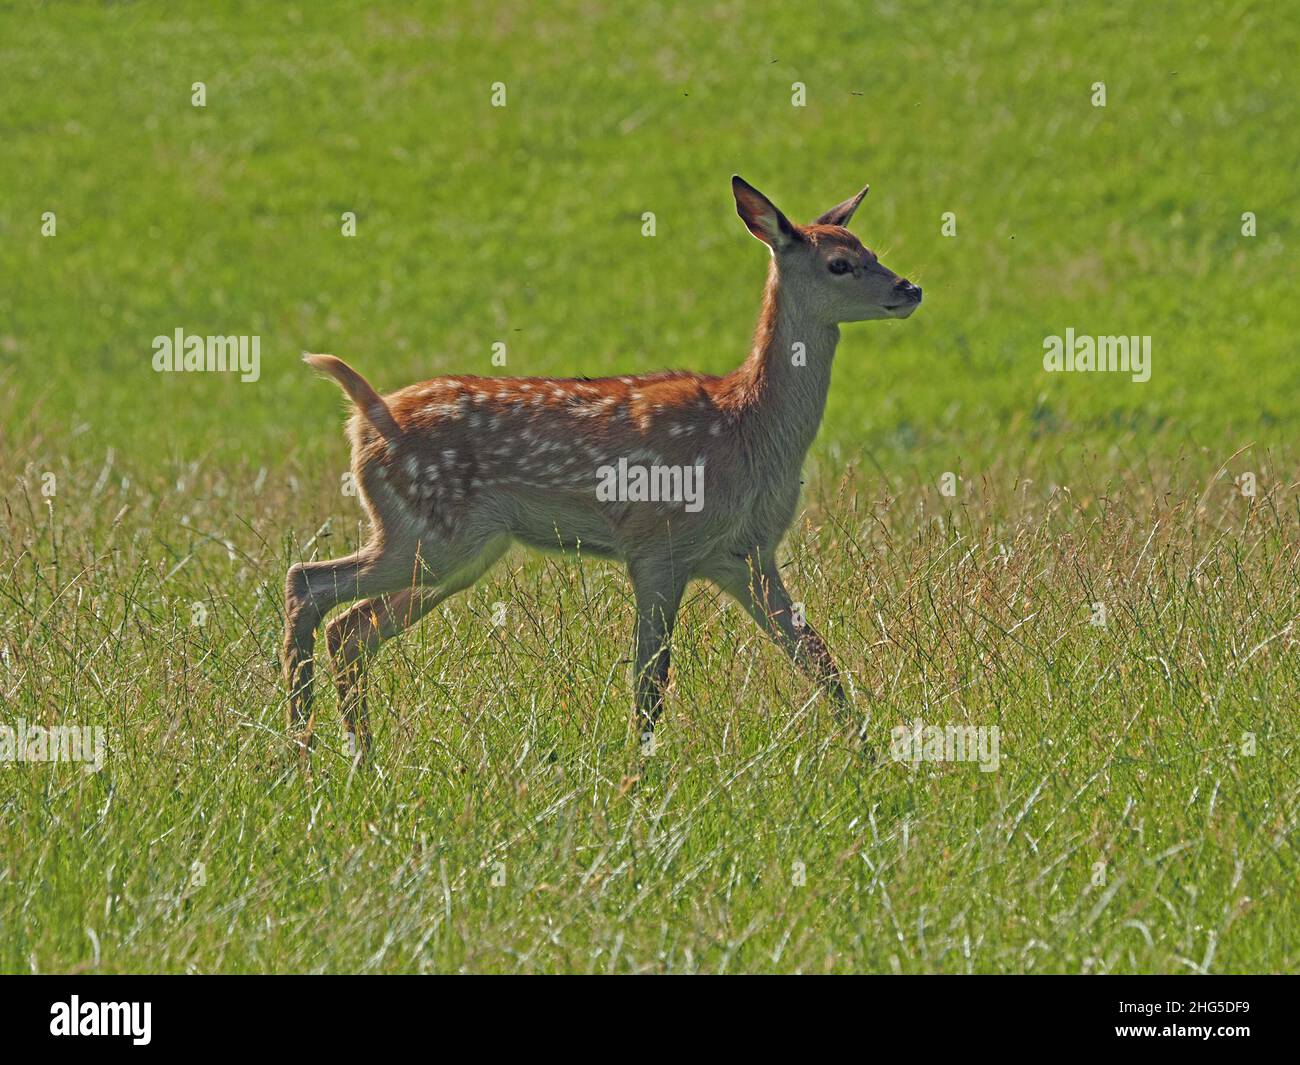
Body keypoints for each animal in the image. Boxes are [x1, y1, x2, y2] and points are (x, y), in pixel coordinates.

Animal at [282, 175, 921, 760]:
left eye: (870, 249)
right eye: (840, 263)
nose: (911, 287)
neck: (749, 430)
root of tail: (370, 416)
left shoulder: (747, 554)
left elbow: (818, 659)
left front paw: (869, 758)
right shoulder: (658, 546)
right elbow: (651, 683)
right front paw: (637, 777)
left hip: (456, 550)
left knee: (351, 628)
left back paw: (357, 752)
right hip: (431, 530)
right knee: (308, 583)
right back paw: (304, 748)